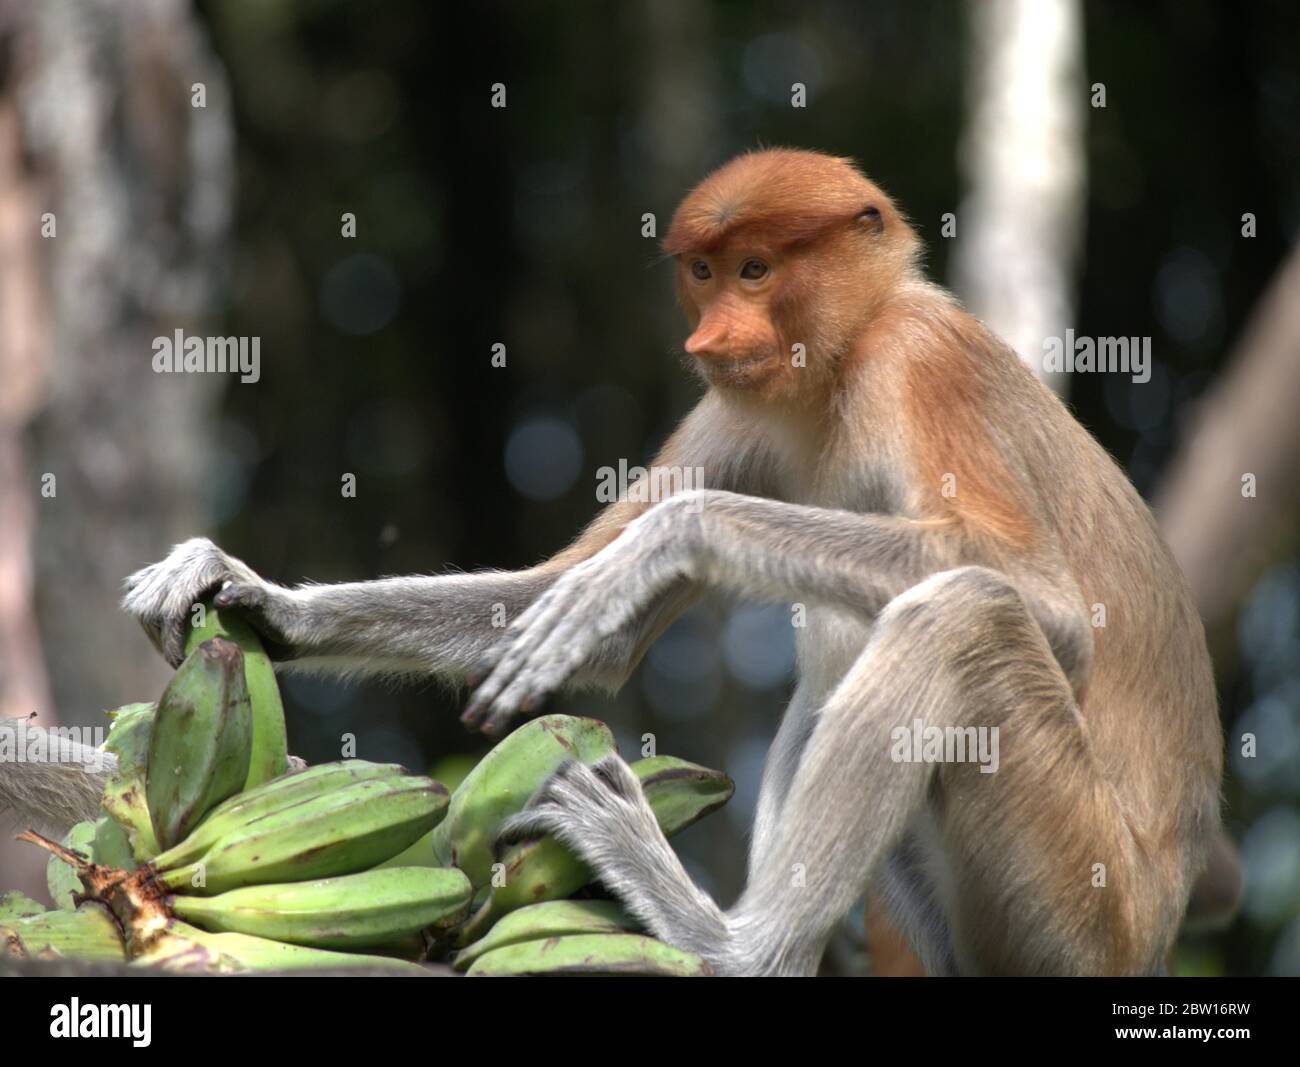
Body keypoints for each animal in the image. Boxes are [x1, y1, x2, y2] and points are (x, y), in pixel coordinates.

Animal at [4, 149, 1223, 976]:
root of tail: (1157, 918)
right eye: (705, 272)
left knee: (959, 611)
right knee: (850, 634)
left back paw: (733, 940)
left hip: (1082, 906)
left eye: (758, 268)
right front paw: (246, 591)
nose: (712, 334)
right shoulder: (737, 408)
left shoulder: (922, 363)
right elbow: (558, 601)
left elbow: (1046, 601)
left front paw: (667, 542)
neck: (840, 363)